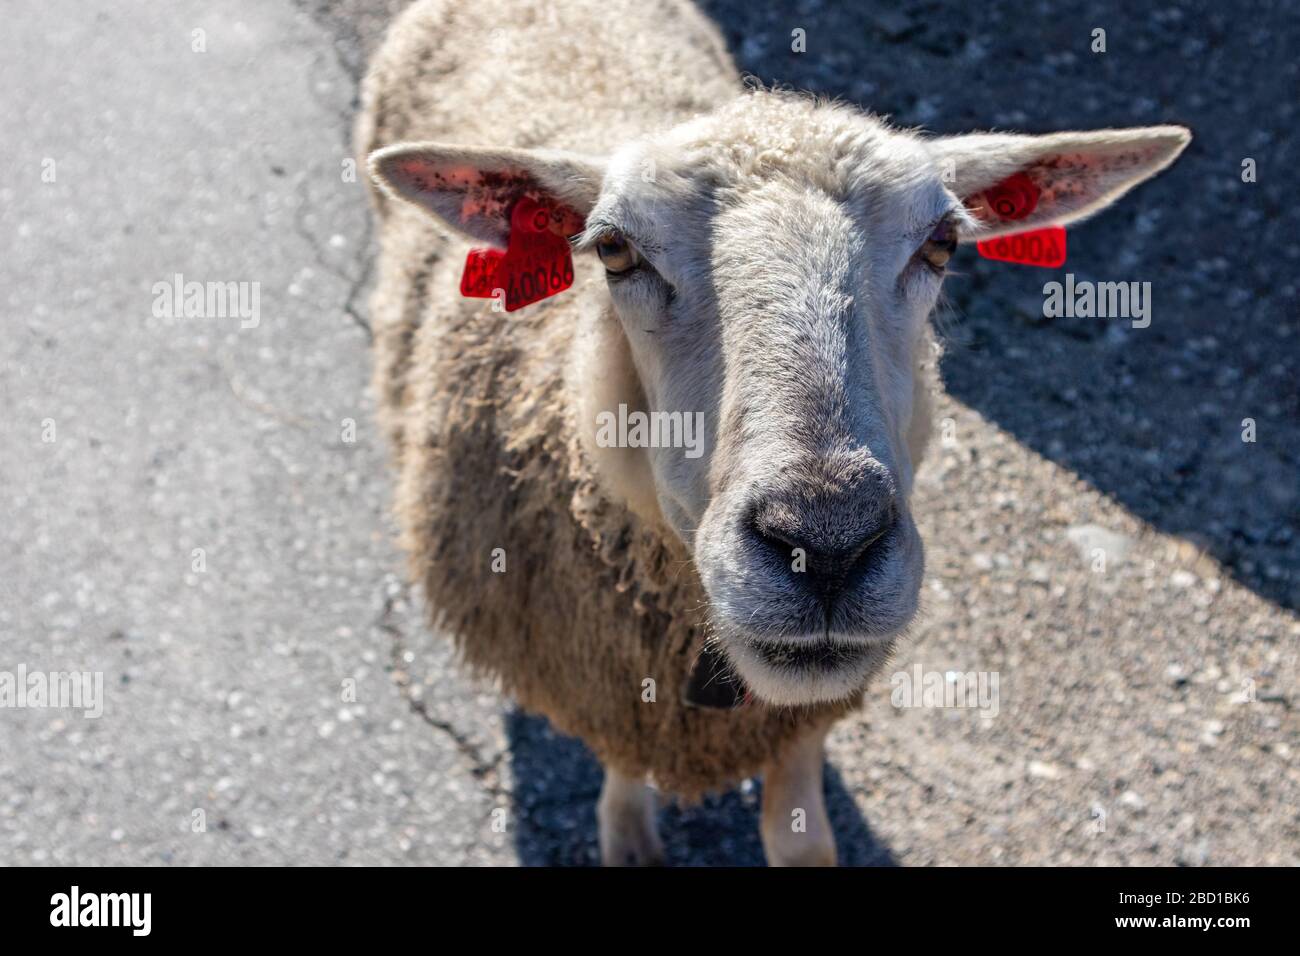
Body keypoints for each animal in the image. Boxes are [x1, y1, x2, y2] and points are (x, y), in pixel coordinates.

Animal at [357, 0, 1190, 865]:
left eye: (942, 242)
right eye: (614, 250)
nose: (826, 546)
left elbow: (800, 839)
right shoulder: (612, 687)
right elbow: (624, 772)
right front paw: (628, 832)